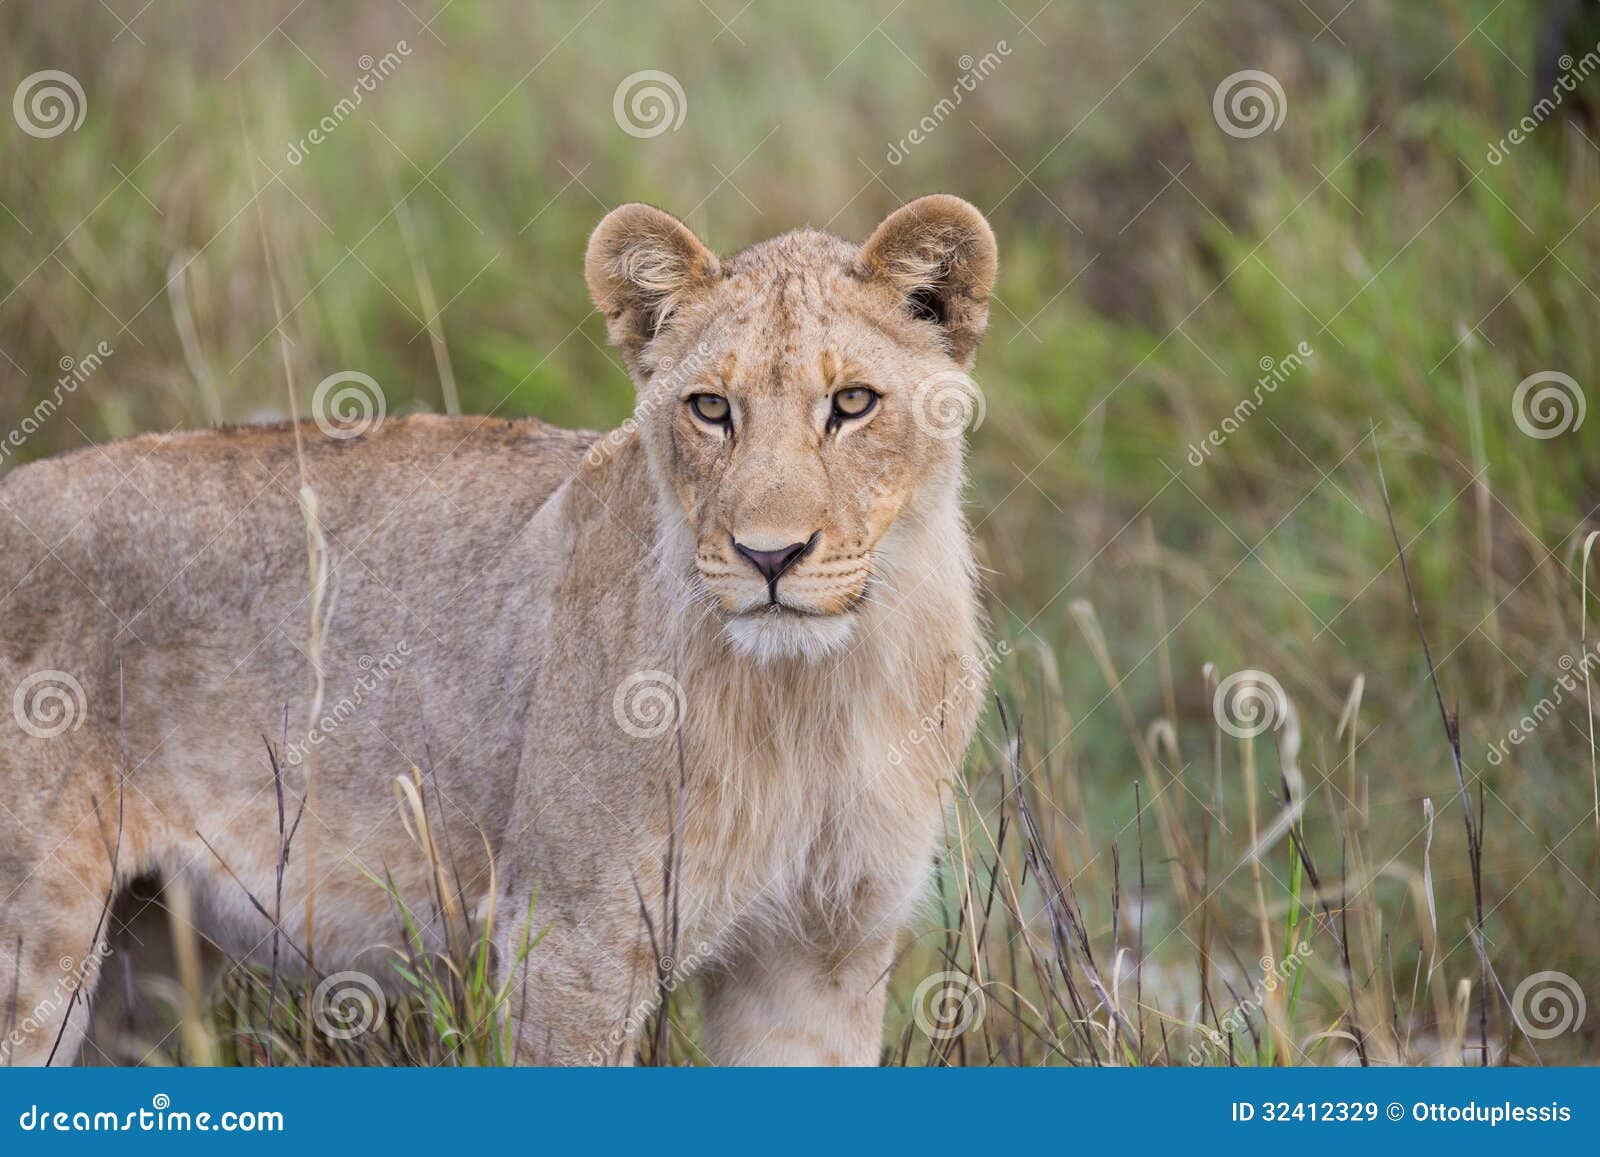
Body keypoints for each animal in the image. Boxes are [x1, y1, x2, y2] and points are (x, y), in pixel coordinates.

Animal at [0, 195, 997, 1065]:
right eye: (712, 408)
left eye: (854, 403)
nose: (770, 555)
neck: (814, 695)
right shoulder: (572, 936)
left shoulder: (820, 952)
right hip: (36, 947)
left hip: (142, 954)